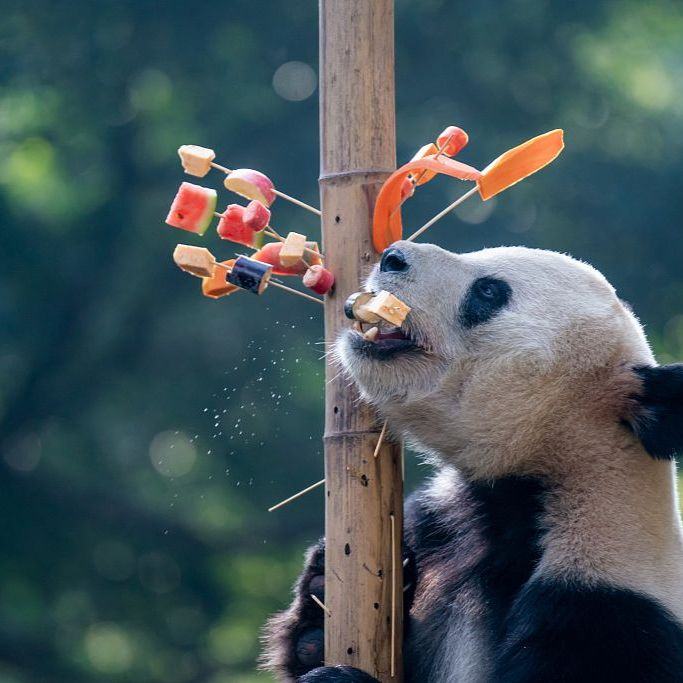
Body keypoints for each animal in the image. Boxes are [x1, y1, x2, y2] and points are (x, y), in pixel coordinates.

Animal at [261, 242, 683, 682]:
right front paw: (319, 601)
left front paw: (340, 677)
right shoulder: (440, 523)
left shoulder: (608, 609)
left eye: (489, 291)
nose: (392, 256)